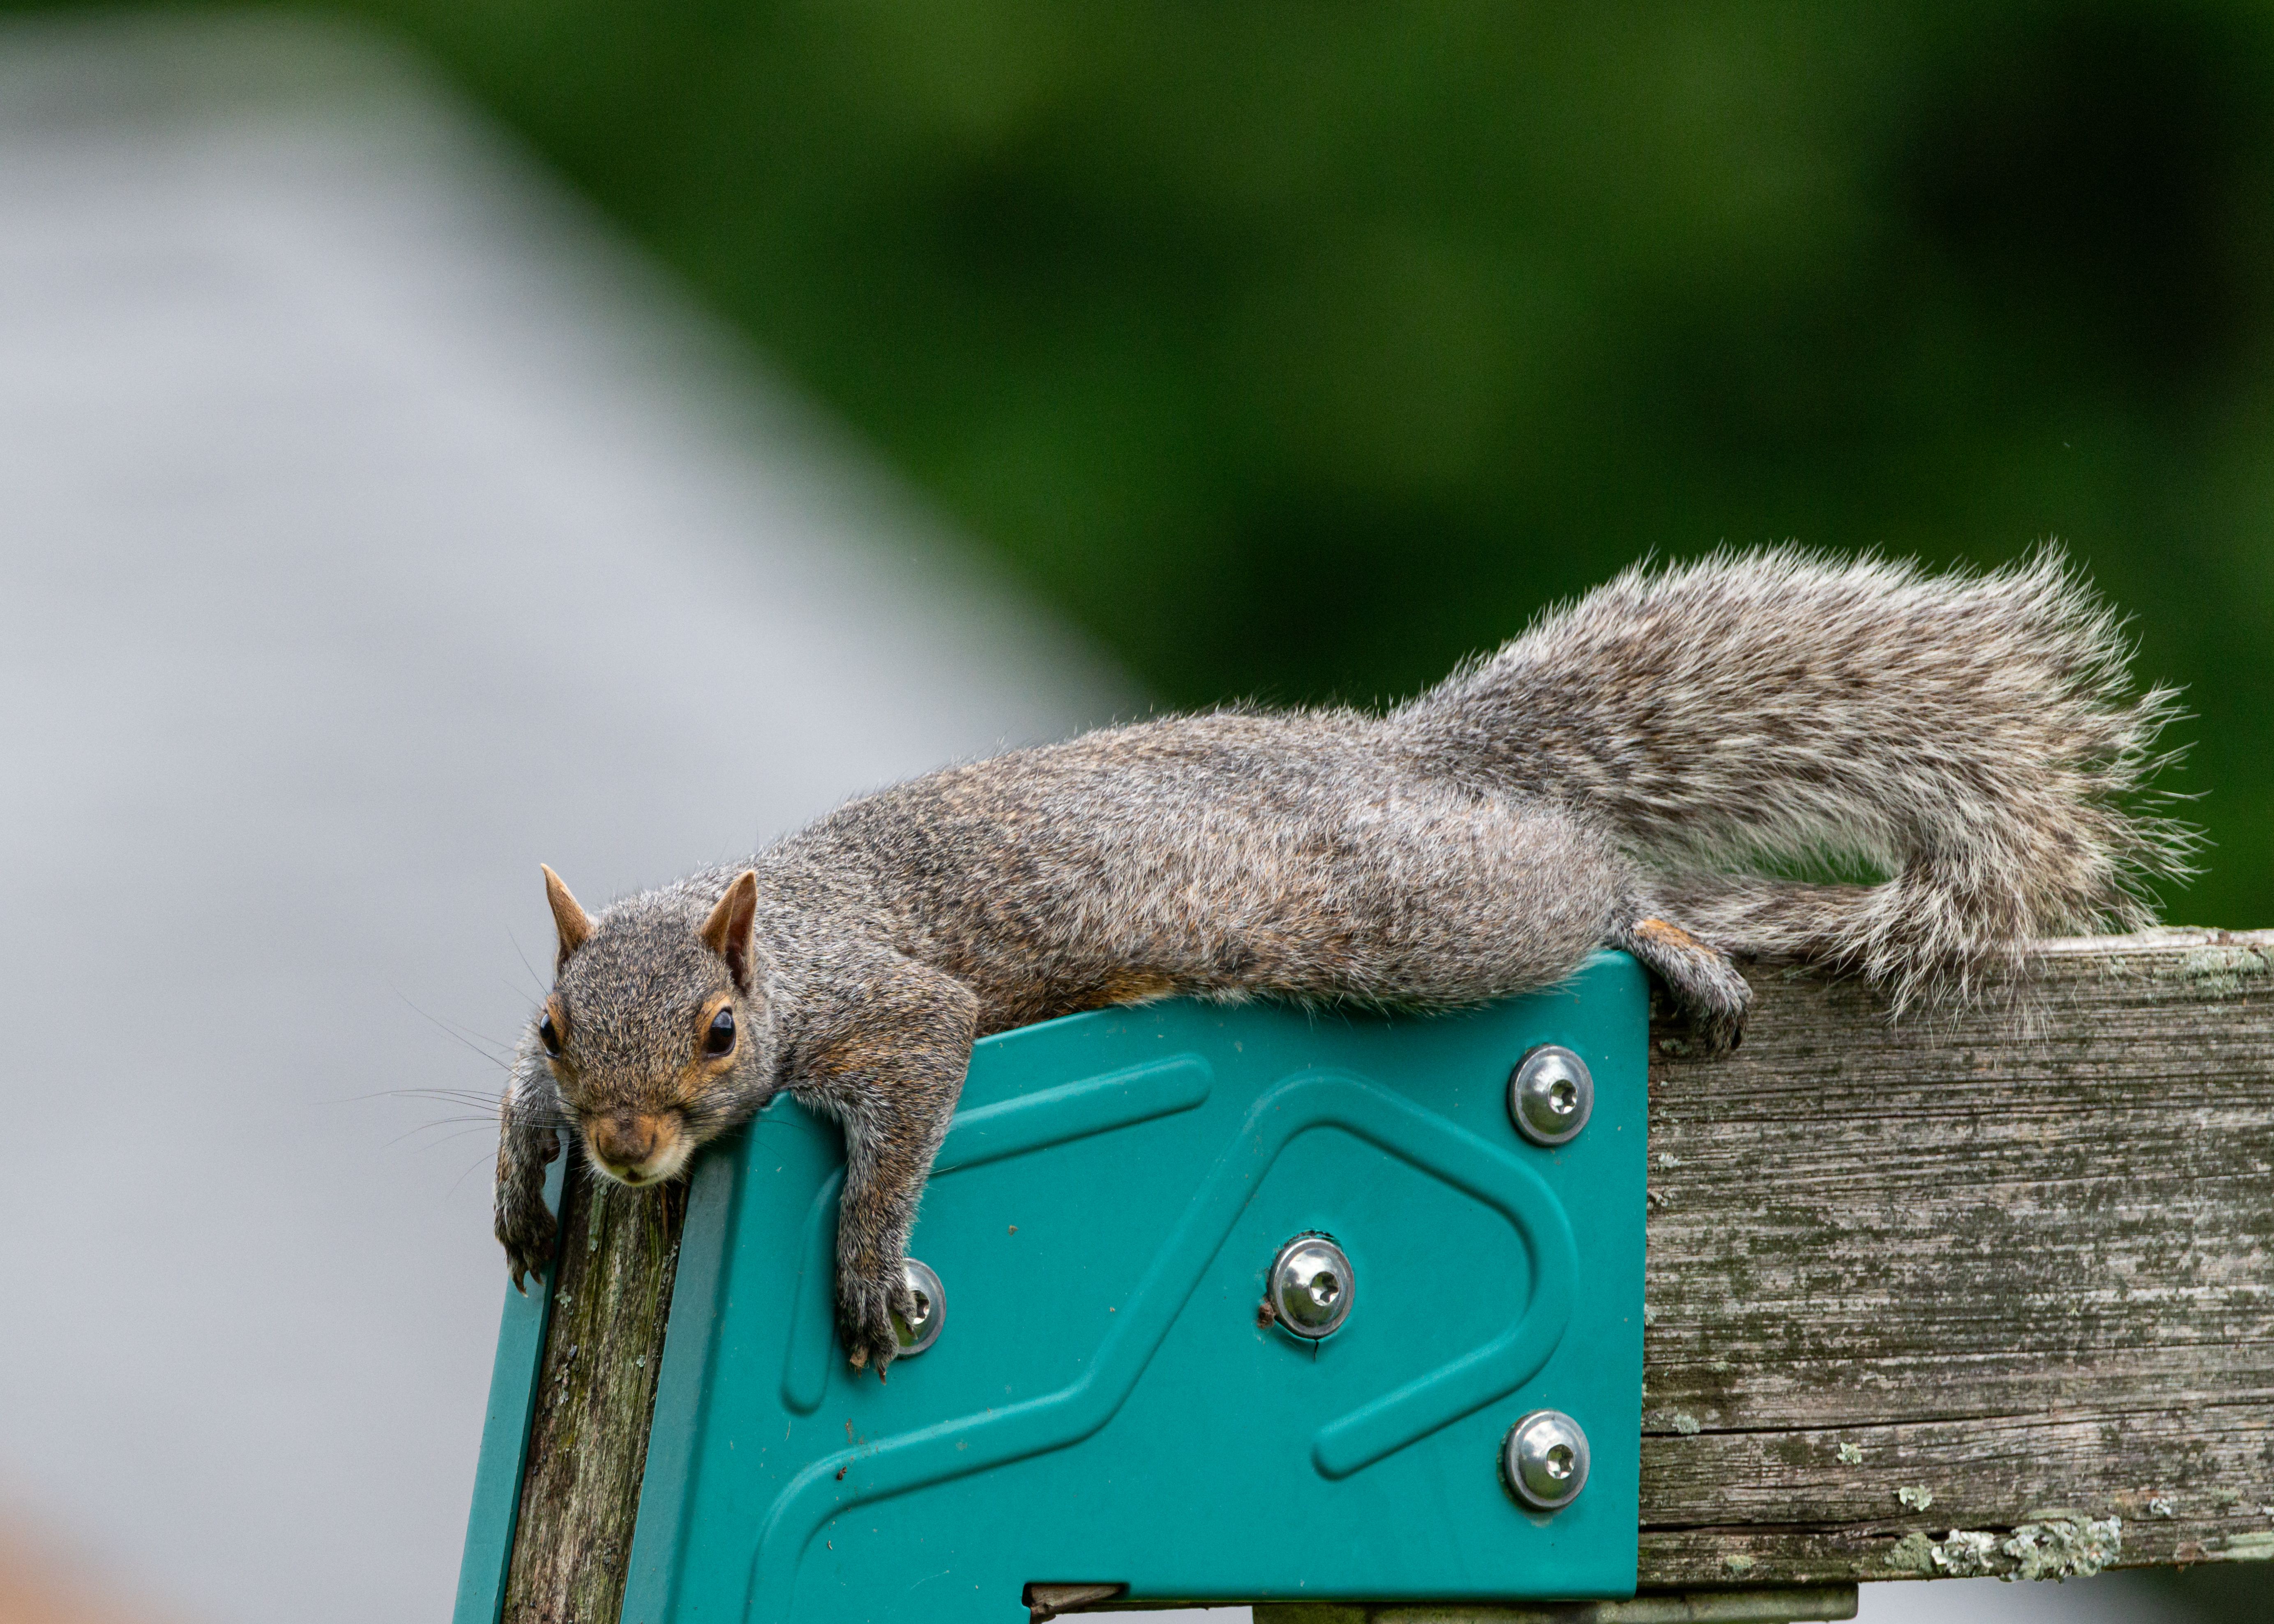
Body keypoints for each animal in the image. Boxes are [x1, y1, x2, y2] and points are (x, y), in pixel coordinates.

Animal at [494, 546, 2187, 1373]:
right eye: (558, 1023)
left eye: (721, 1032)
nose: (625, 1145)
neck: (776, 935)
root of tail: (1415, 758)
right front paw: (522, 1176)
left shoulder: (889, 1005)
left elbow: (911, 1100)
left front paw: (861, 1257)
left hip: (1427, 905)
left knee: (1592, 877)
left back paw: (1657, 929)